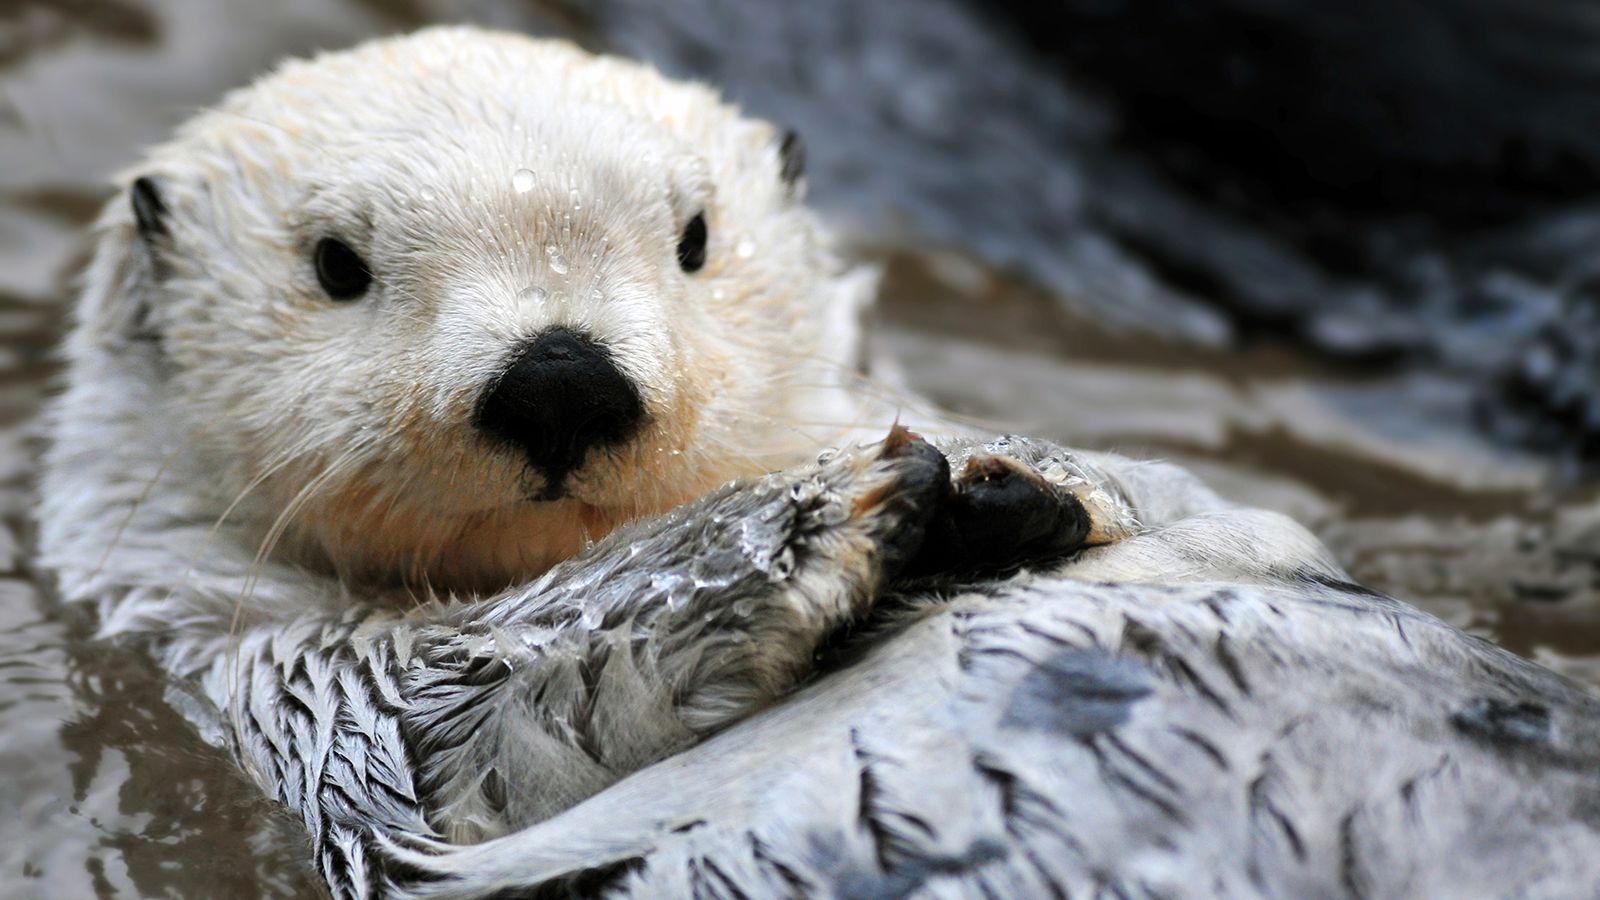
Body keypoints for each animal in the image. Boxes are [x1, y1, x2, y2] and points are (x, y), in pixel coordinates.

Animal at [38, 26, 1600, 899]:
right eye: (337, 267)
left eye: (692, 237)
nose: (560, 378)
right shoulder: (298, 687)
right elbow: (470, 716)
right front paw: (811, 524)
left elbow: (1202, 508)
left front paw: (1010, 484)